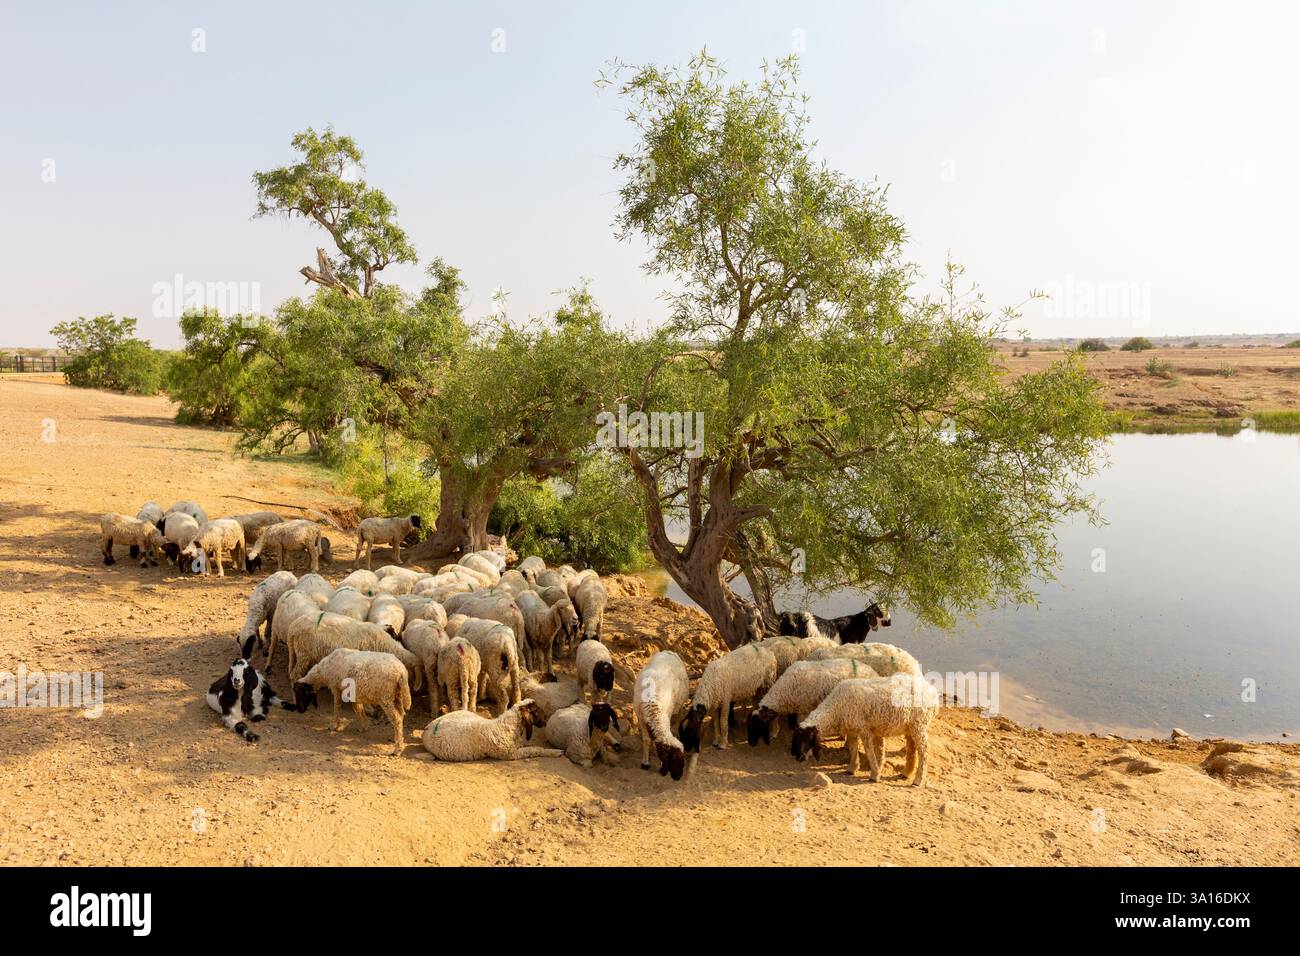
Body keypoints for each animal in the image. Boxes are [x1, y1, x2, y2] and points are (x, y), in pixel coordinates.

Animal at [421, 699, 560, 762]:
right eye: (535, 711)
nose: (546, 720)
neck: (506, 726)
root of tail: (427, 729)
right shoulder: (511, 754)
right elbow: (535, 749)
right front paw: (556, 752)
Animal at [631, 651, 691, 780]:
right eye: (675, 759)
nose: (678, 777)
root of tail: (669, 652)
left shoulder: (666, 715)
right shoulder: (641, 719)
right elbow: (647, 740)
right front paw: (645, 763)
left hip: (681, 700)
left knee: (679, 716)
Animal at [790, 673, 939, 785]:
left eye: (809, 737)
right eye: (796, 738)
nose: (799, 757)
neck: (836, 707)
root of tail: (932, 691)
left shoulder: (864, 729)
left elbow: (868, 751)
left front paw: (874, 775)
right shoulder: (852, 729)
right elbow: (853, 748)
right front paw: (852, 768)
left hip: (919, 724)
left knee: (924, 751)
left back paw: (918, 780)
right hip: (910, 726)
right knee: (912, 747)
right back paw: (906, 773)